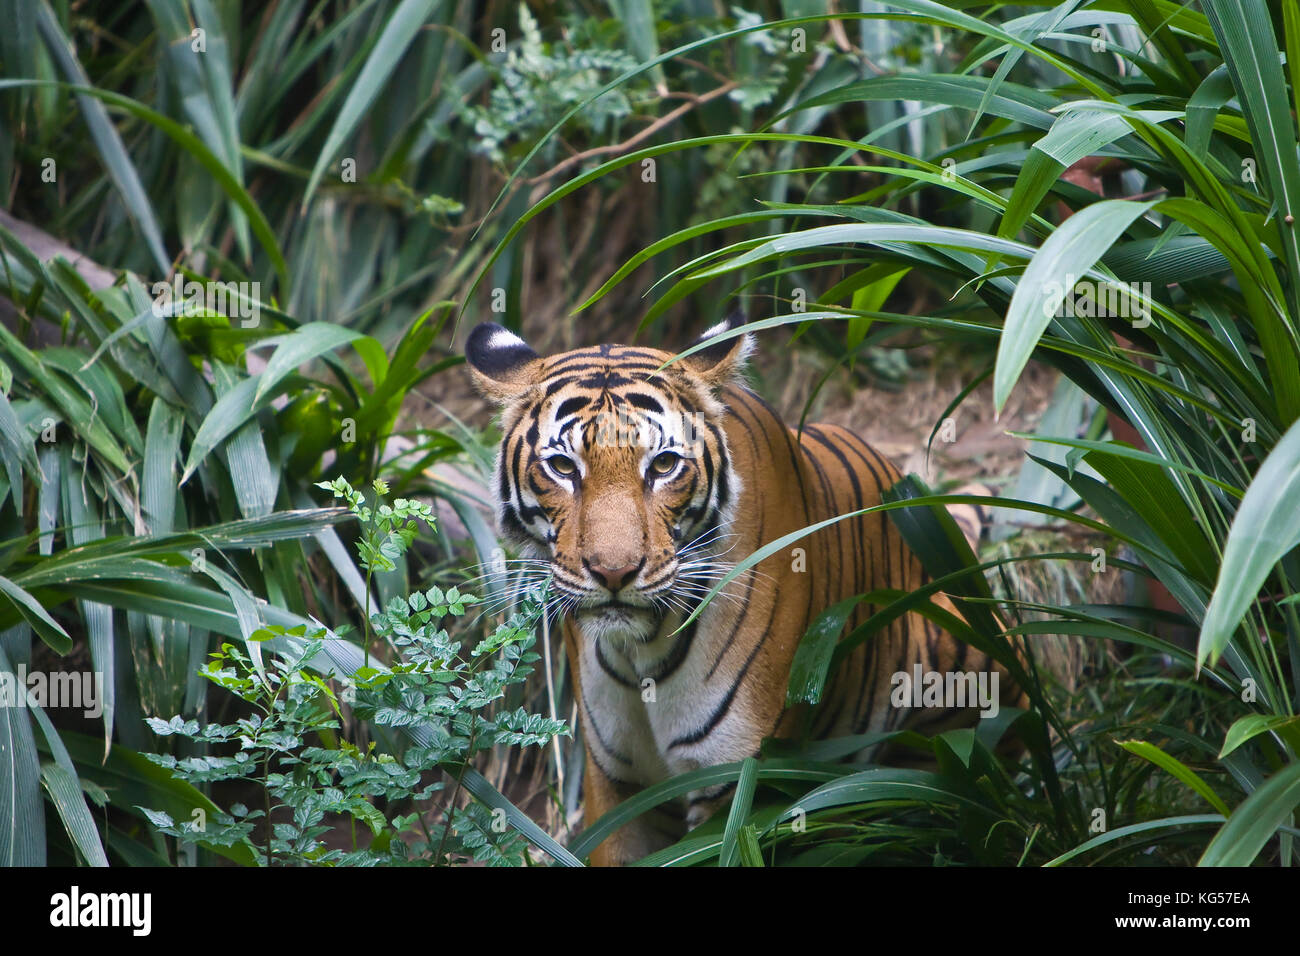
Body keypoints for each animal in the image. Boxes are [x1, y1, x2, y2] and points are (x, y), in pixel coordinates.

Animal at [464, 312, 1024, 866]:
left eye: (664, 465)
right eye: (563, 467)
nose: (615, 572)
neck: (638, 651)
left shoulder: (738, 778)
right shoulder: (618, 784)